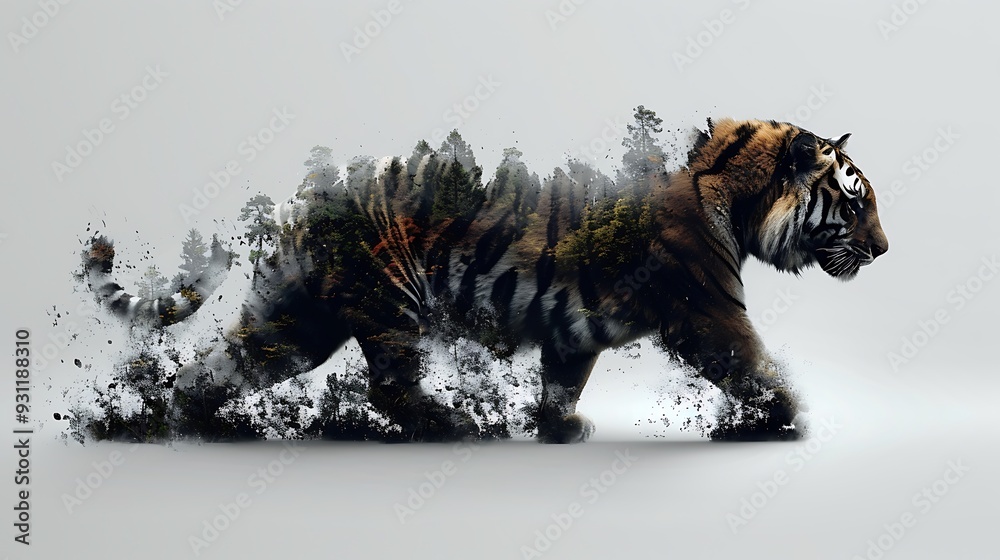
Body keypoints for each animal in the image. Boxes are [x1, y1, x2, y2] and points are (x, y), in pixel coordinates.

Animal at [79, 117, 888, 443]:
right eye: (855, 202)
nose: (884, 251)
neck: (734, 196)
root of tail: (298, 201)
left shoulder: (573, 330)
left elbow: (563, 380)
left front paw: (559, 429)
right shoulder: (709, 315)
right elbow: (753, 365)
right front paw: (793, 417)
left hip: (294, 319)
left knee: (211, 370)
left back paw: (190, 426)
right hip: (389, 300)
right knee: (388, 386)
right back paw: (449, 424)